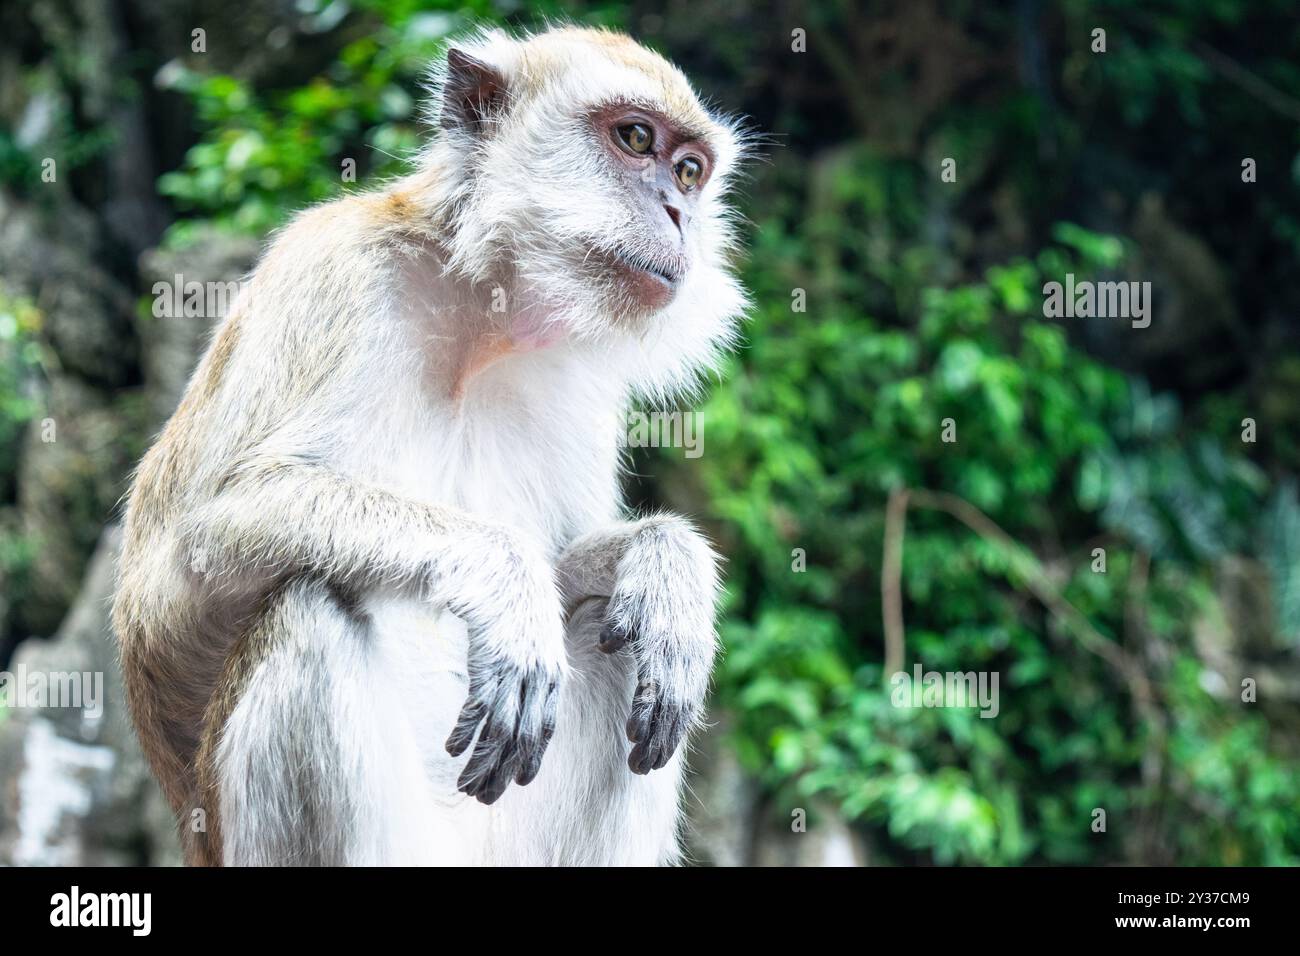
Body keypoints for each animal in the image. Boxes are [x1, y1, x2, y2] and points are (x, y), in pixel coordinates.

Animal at [112, 25, 749, 866]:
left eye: (690, 171)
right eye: (636, 139)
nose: (679, 211)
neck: (480, 320)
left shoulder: (583, 392)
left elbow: (577, 567)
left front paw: (667, 565)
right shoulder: (333, 270)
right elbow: (200, 542)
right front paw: (504, 581)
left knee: (622, 631)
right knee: (310, 605)